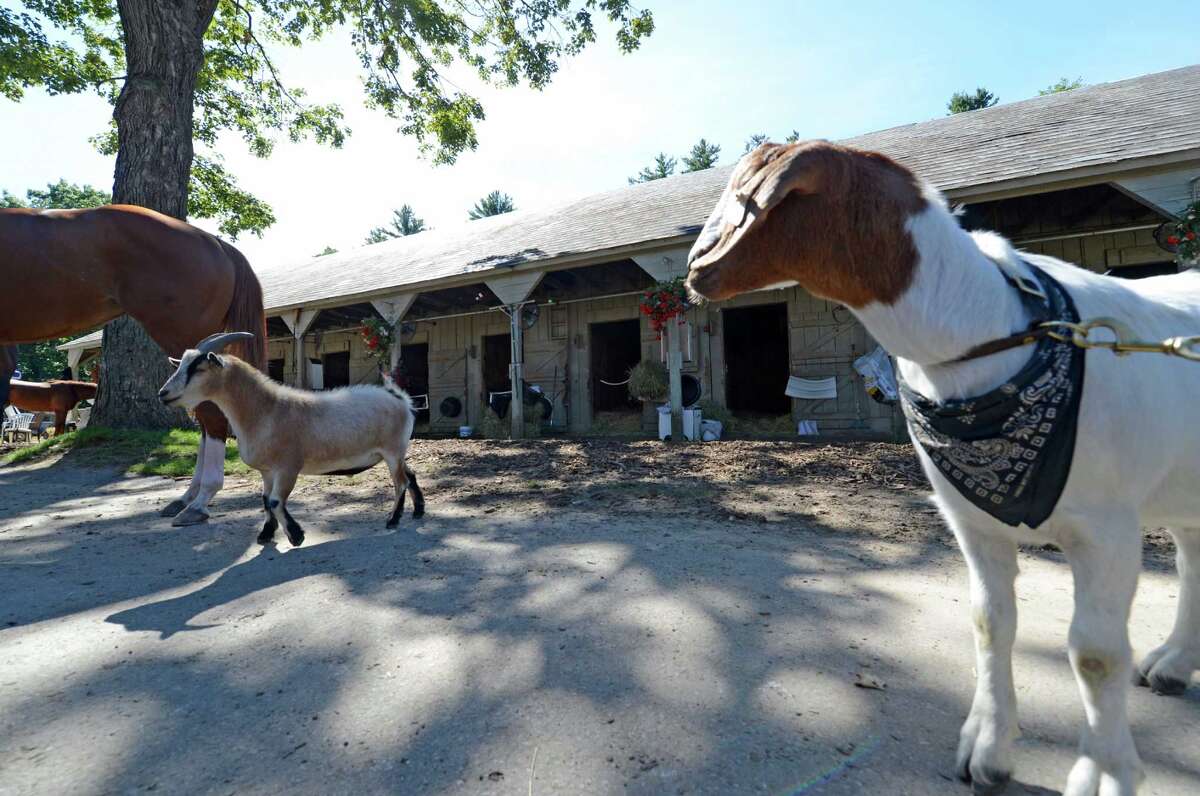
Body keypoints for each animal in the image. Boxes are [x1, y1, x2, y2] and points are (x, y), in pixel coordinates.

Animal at [157, 333, 424, 547]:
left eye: (198, 369)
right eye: (181, 365)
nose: (163, 394)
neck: (267, 410)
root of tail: (401, 400)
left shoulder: (288, 467)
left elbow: (276, 501)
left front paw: (296, 535)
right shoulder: (267, 471)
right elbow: (265, 500)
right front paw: (266, 534)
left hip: (392, 450)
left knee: (400, 482)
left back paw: (393, 519)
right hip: (395, 452)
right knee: (410, 475)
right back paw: (418, 511)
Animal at [686, 140, 1200, 795]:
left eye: (753, 195)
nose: (694, 270)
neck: (995, 332)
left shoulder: (1105, 528)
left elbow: (1095, 654)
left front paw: (1104, 774)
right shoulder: (970, 520)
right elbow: (989, 622)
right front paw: (988, 752)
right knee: (1191, 556)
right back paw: (1171, 664)